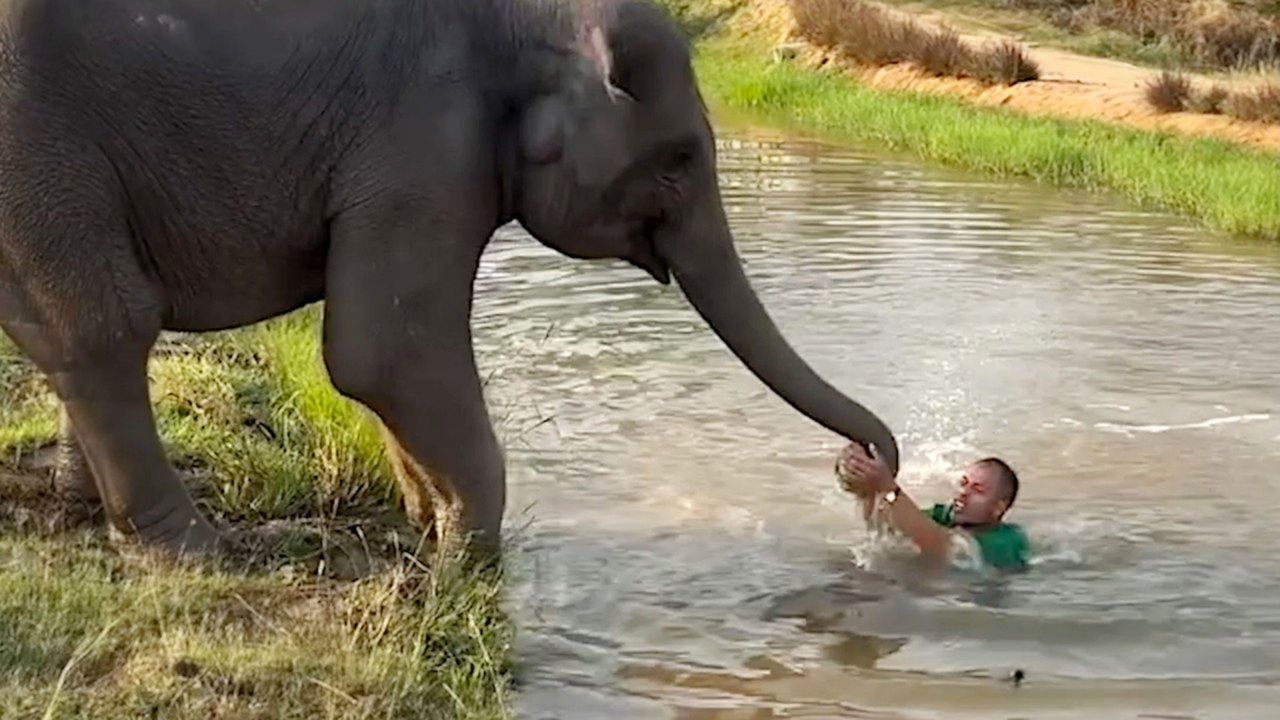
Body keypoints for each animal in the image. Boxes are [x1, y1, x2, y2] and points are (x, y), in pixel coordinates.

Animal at [0, 0, 899, 556]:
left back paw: (84, 503)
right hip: (37, 137)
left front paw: (426, 526)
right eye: (679, 159)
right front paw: (469, 560)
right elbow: (380, 352)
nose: (874, 460)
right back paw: (190, 549)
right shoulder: (425, 141)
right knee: (104, 325)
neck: (530, 13)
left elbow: (387, 362)